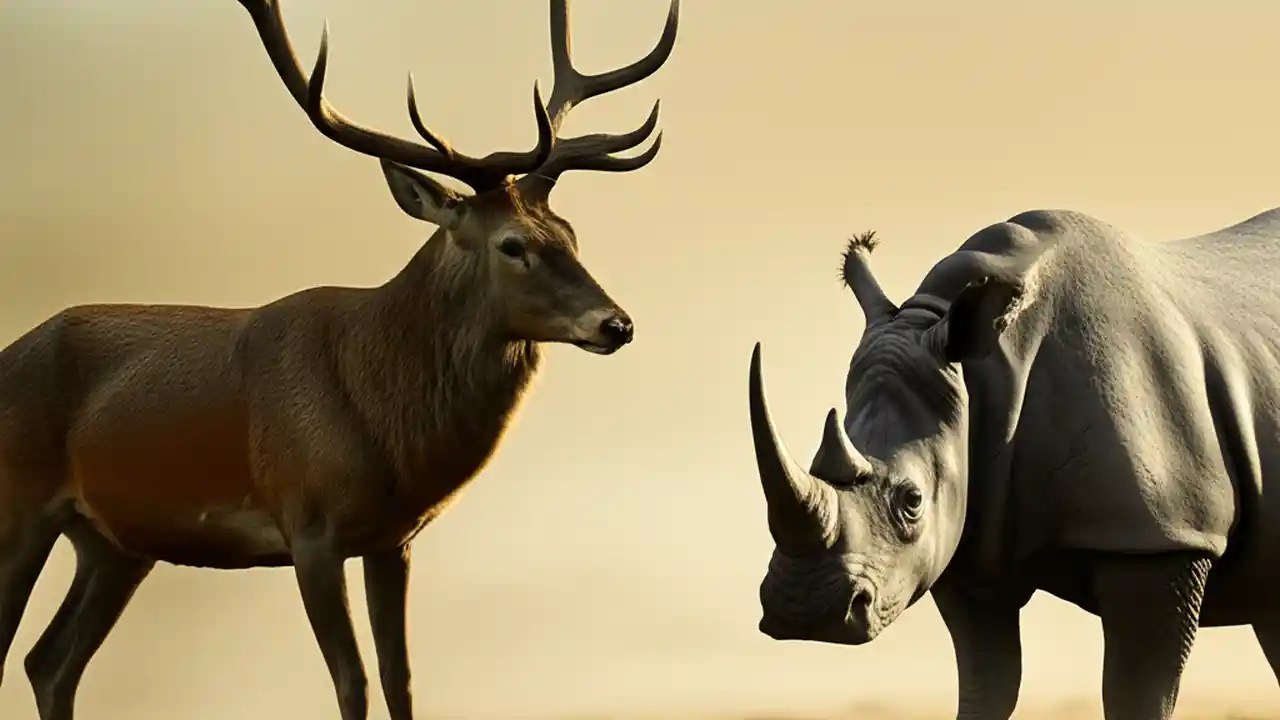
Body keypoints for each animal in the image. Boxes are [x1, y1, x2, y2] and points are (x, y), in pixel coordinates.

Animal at [0, 1, 678, 718]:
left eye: (571, 233)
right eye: (512, 243)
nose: (617, 323)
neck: (384, 427)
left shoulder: (393, 539)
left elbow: (399, 676)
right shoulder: (309, 526)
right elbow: (351, 681)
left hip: (114, 541)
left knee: (50, 661)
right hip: (19, 503)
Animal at [748, 208, 1280, 719]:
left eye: (912, 500)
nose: (804, 611)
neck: (982, 376)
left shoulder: (1160, 535)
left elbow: (1135, 694)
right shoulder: (973, 538)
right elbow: (988, 685)